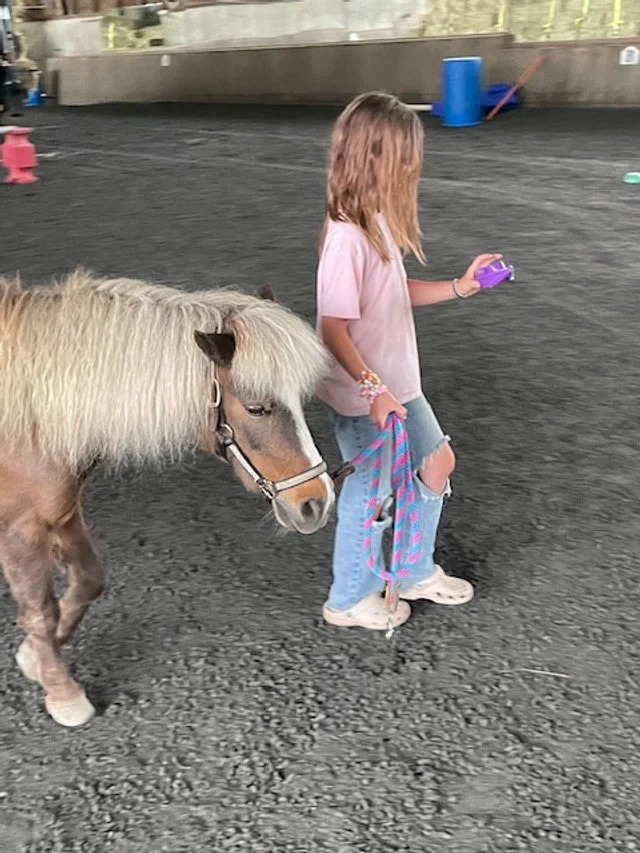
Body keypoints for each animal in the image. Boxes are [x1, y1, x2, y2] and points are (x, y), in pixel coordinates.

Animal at [0, 271, 335, 727]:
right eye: (256, 408)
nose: (317, 503)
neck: (33, 406)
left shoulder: (61, 512)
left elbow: (88, 579)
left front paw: (33, 658)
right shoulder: (22, 527)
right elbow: (40, 610)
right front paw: (64, 694)